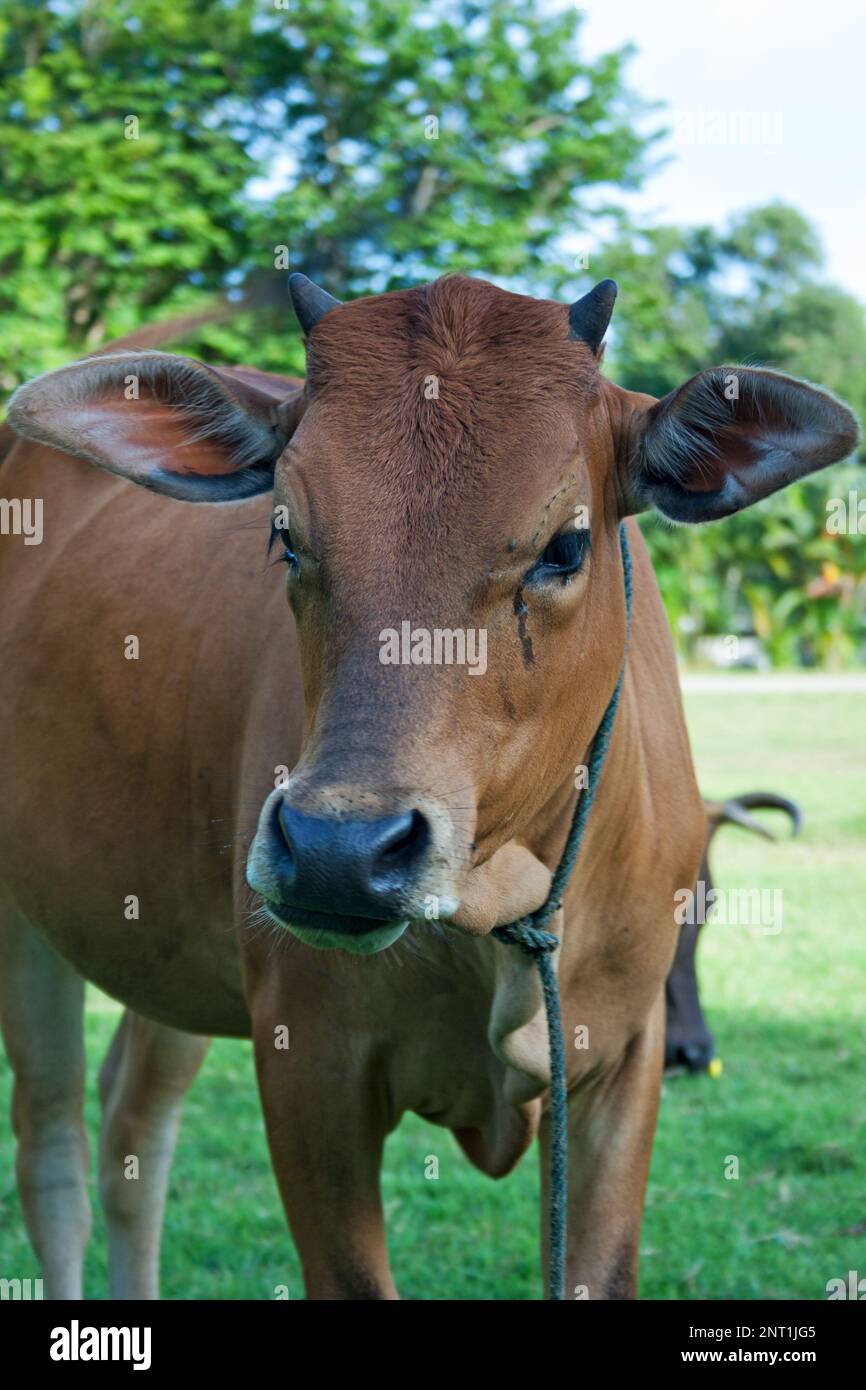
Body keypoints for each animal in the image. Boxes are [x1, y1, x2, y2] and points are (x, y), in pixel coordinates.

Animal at [0, 273, 857, 1299]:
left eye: (566, 547)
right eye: (284, 535)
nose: (336, 854)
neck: (503, 903)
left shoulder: (625, 1061)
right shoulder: (308, 1064)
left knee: (136, 1121)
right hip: (31, 923)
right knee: (55, 1151)